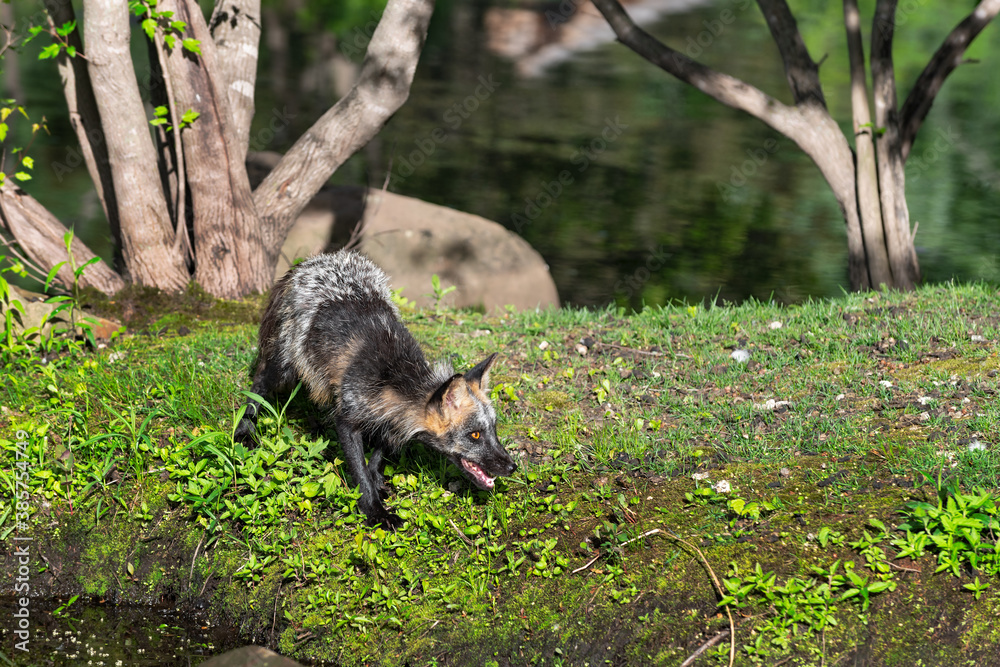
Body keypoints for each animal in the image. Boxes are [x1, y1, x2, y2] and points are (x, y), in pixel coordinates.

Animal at [234, 251, 517, 528]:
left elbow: (378, 456)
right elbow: (359, 472)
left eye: (493, 430)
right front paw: (375, 512)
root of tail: (313, 261)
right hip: (284, 369)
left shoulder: (390, 421)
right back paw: (244, 429)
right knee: (258, 386)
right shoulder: (347, 419)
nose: (512, 467)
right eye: (475, 435)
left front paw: (377, 480)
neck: (392, 377)